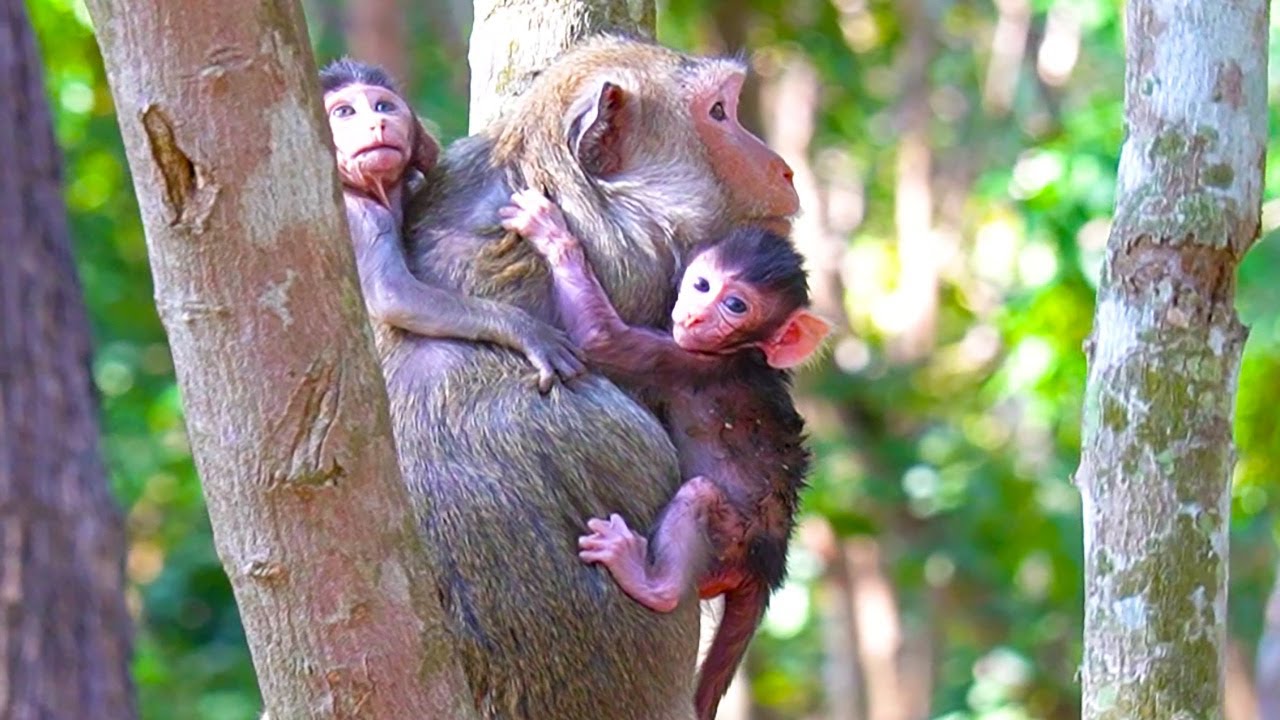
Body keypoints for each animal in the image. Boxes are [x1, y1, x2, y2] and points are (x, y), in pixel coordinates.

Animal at [319, 58, 583, 391]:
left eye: (382, 106)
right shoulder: (362, 218)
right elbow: (393, 296)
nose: (377, 122)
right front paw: (526, 330)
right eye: (344, 112)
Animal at [501, 187, 829, 720]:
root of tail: (768, 563)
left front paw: (551, 232)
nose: (694, 316)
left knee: (698, 497)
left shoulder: (684, 360)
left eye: (735, 305)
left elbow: (600, 338)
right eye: (701, 284)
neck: (742, 353)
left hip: (730, 537)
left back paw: (650, 582)